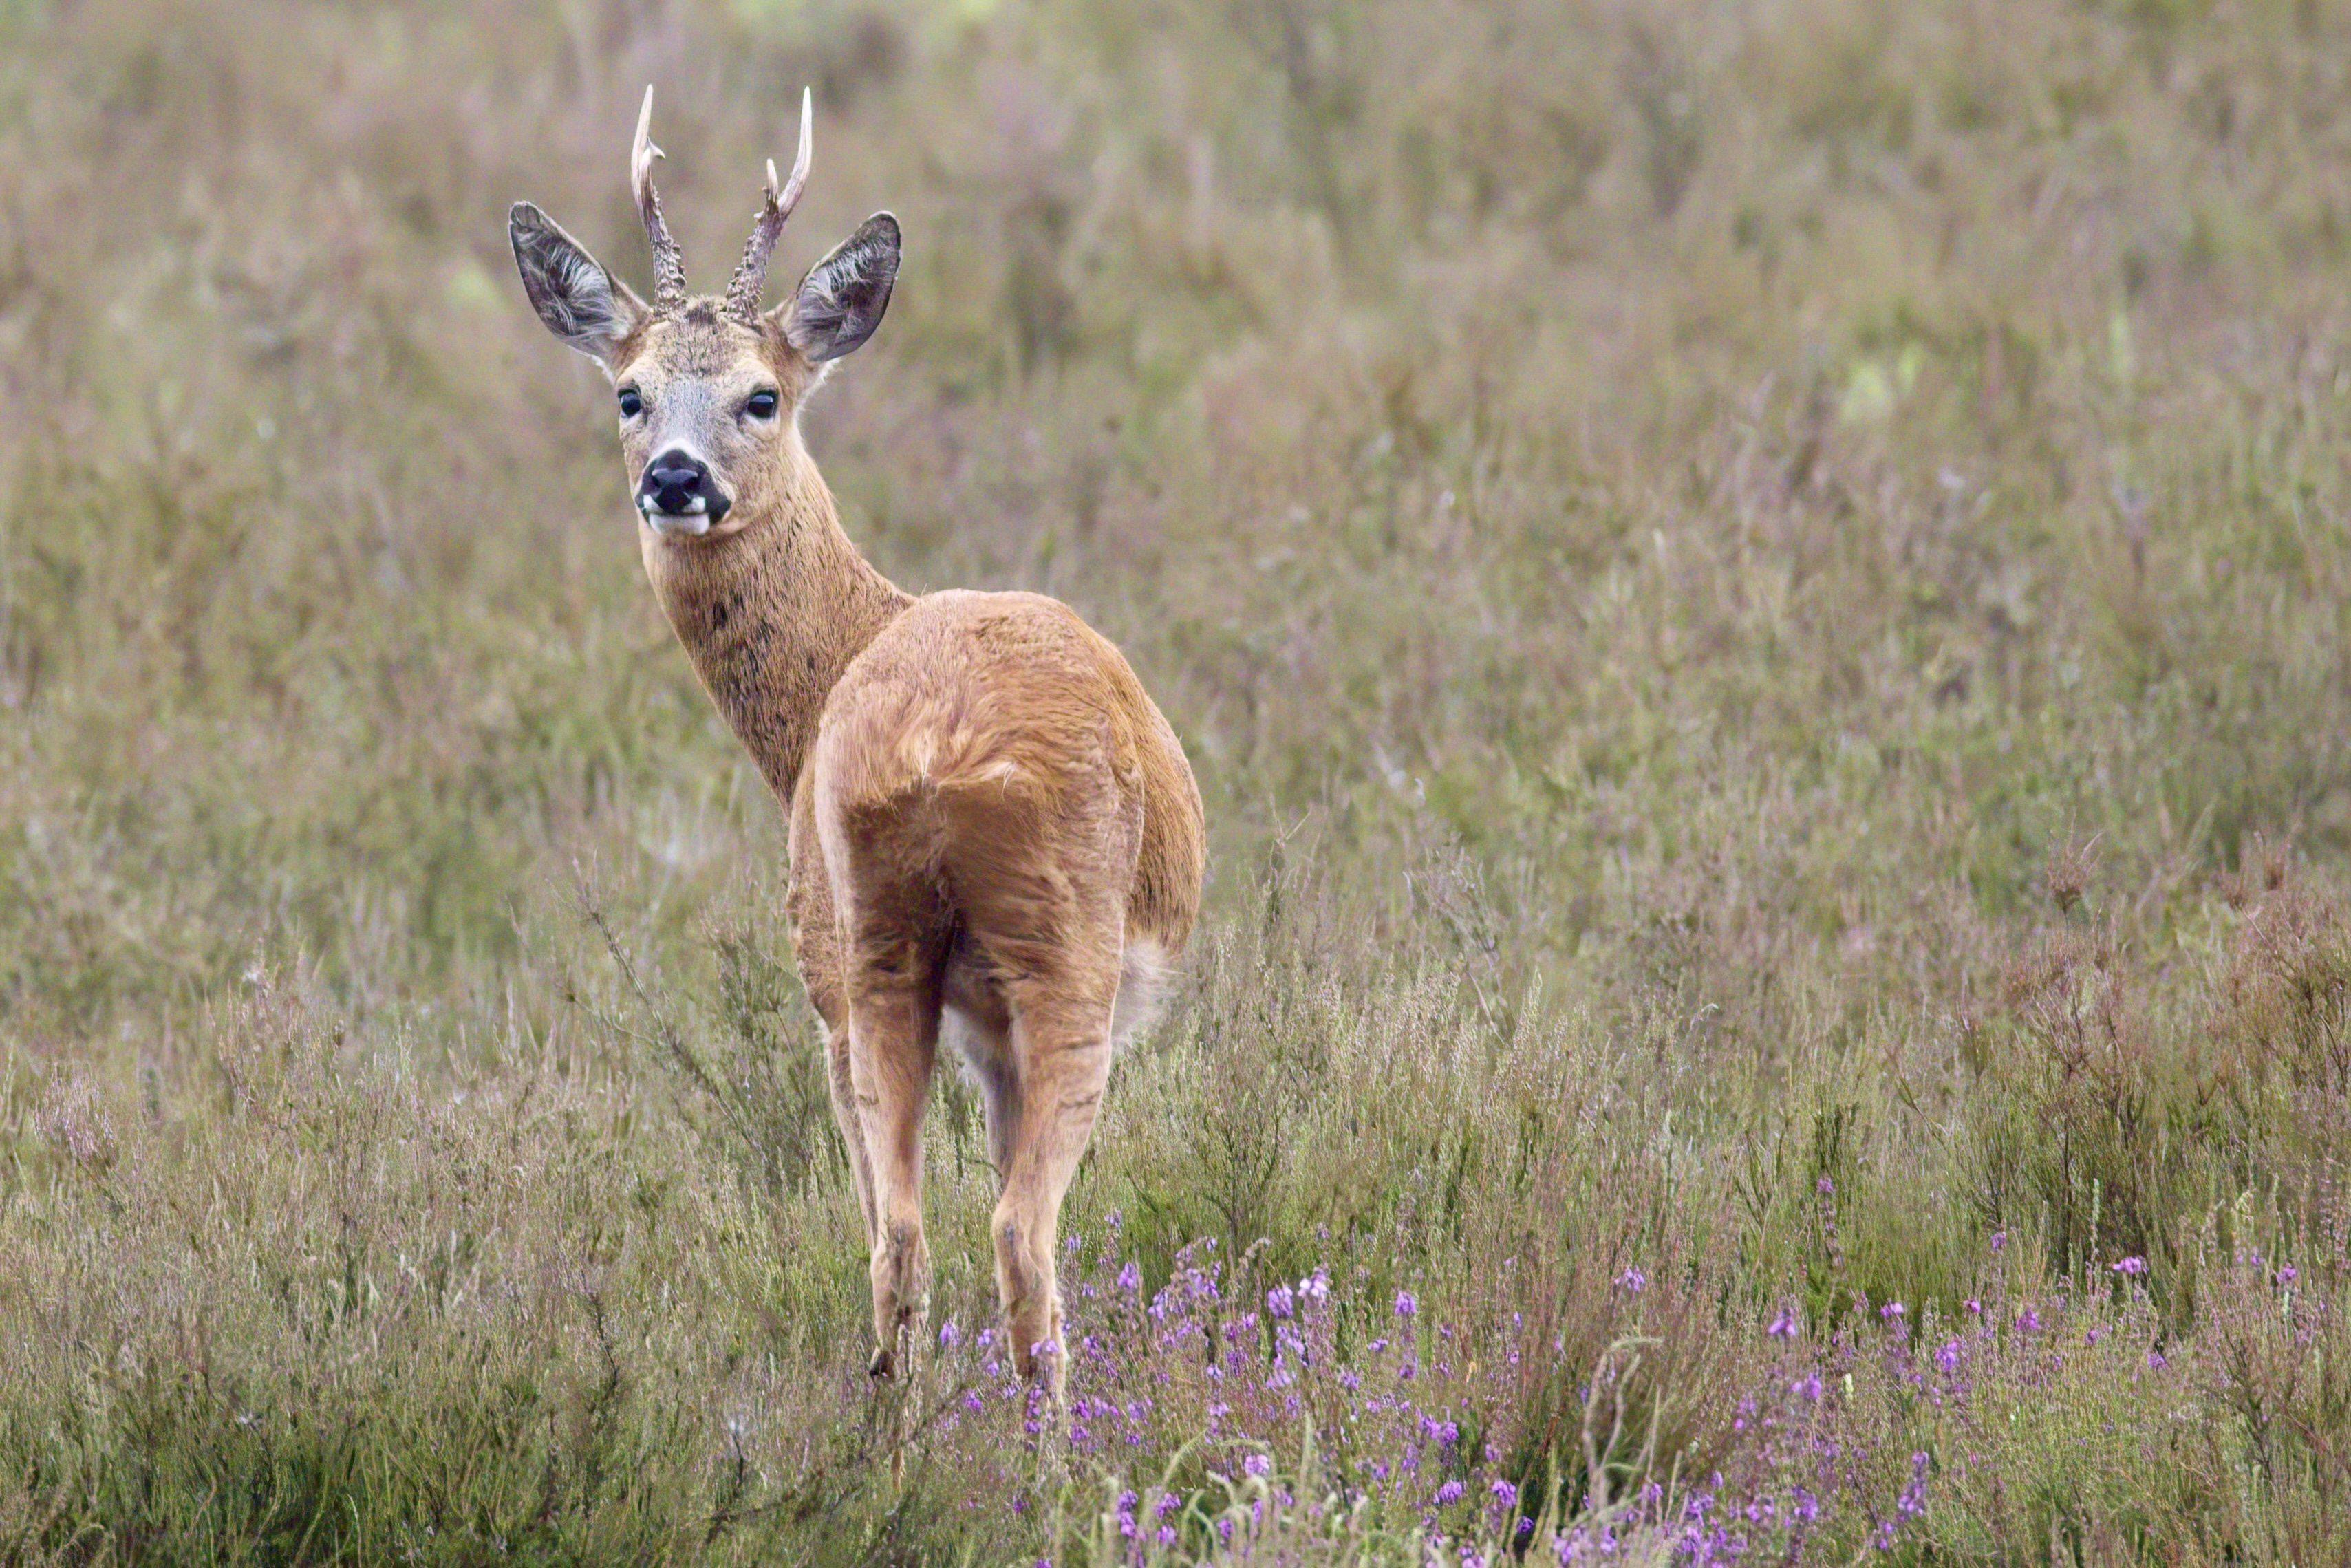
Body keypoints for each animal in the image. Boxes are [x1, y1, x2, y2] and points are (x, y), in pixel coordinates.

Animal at [508, 88, 1204, 1404]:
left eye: (760, 395)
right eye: (629, 392)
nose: (674, 478)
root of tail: (933, 748)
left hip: (877, 947)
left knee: (901, 1238)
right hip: (1044, 951)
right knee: (1014, 1232)